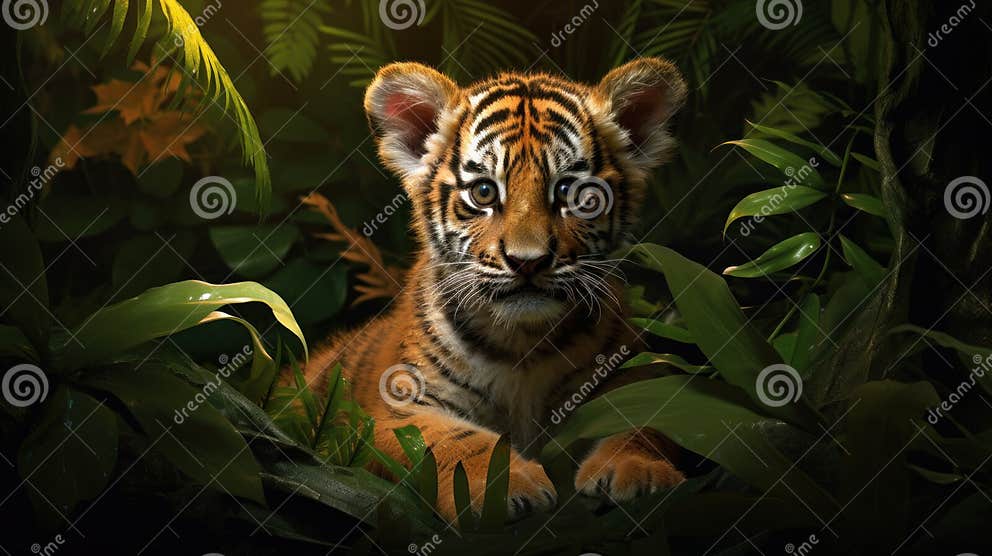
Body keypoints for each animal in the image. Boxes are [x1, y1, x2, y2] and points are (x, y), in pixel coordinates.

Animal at [295, 57, 688, 524]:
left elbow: (648, 420)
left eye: (572, 192)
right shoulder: (398, 404)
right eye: (484, 191)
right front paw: (506, 485)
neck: (524, 340)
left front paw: (639, 470)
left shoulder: (633, 371)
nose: (528, 261)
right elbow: (454, 442)